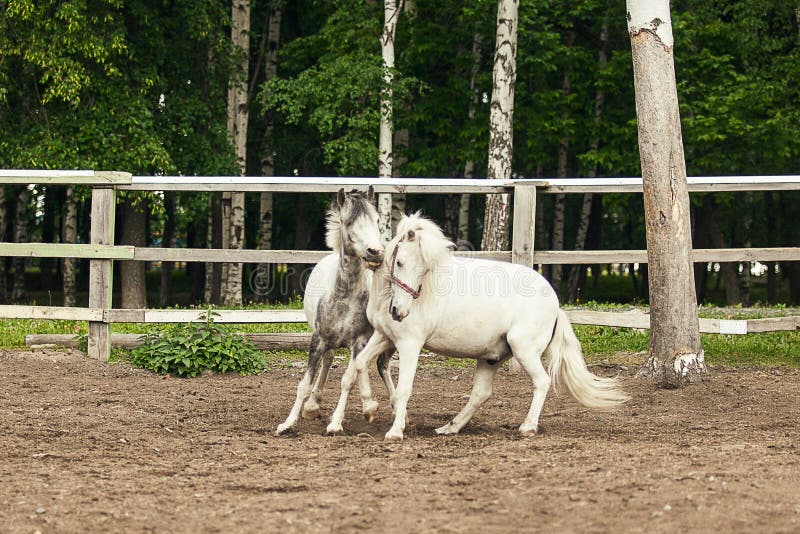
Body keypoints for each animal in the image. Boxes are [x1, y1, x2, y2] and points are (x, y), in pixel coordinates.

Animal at [276, 187, 395, 435]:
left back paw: (380, 405)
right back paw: (314, 406)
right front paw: (288, 423)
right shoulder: (318, 339)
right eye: (349, 222)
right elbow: (304, 384)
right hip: (330, 342)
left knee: (379, 366)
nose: (375, 252)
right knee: (329, 360)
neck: (344, 294)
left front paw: (335, 423)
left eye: (377, 220)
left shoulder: (358, 341)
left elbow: (348, 380)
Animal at [326, 213, 629, 441]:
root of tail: (555, 304)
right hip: (491, 357)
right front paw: (351, 416)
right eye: (399, 262)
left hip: (524, 349)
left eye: (424, 270)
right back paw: (449, 427)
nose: (399, 312)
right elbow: (355, 368)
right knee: (481, 394)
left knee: (541, 382)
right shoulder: (383, 337)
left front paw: (395, 431)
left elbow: (404, 388)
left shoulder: (410, 344)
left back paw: (527, 427)